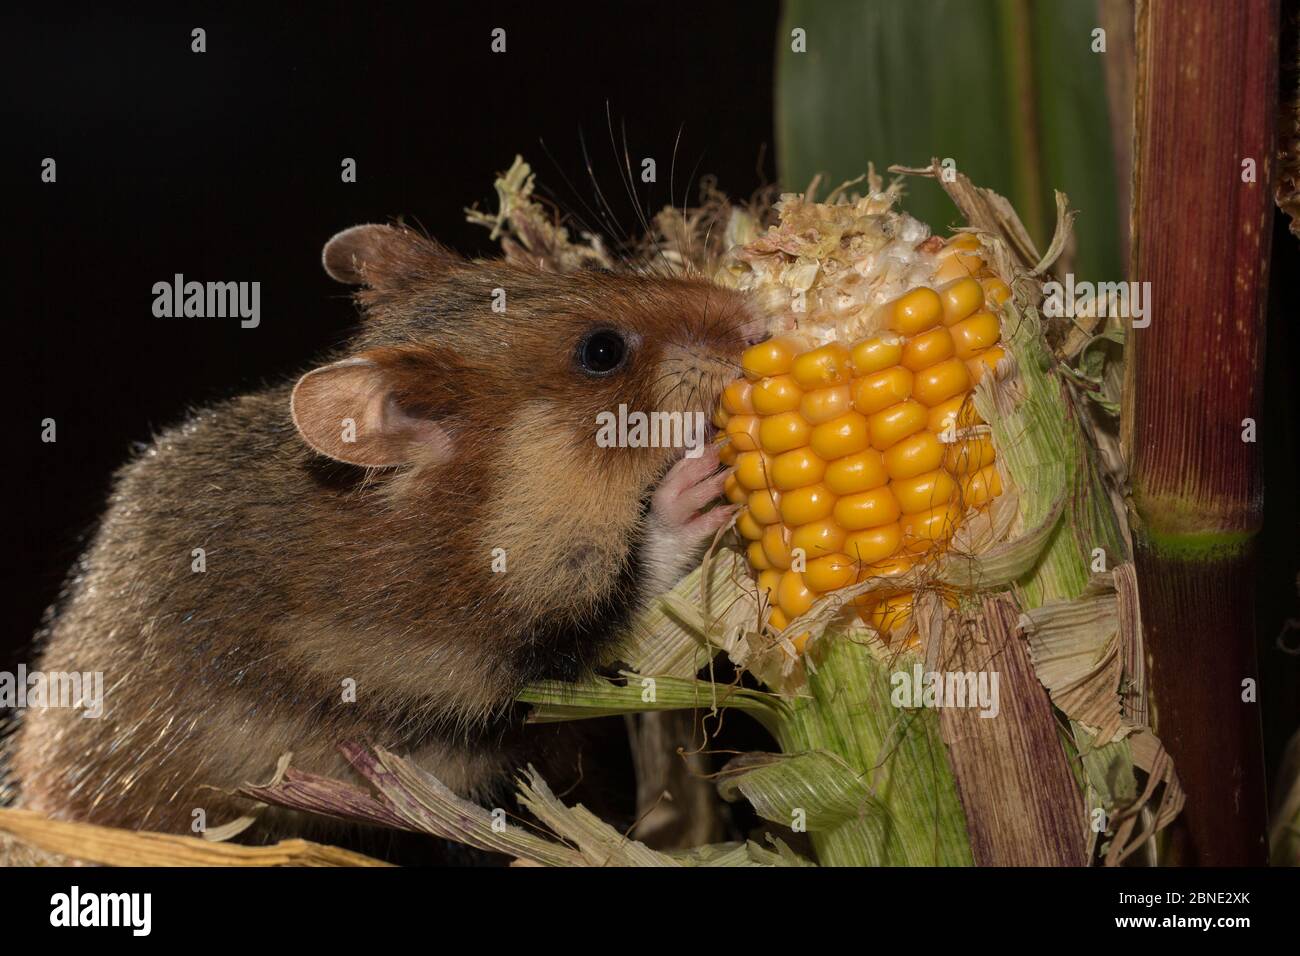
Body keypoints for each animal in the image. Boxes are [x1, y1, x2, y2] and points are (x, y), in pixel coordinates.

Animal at [10, 223, 760, 840]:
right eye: (601, 351)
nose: (754, 316)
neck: (467, 511)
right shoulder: (504, 645)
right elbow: (628, 590)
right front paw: (696, 482)